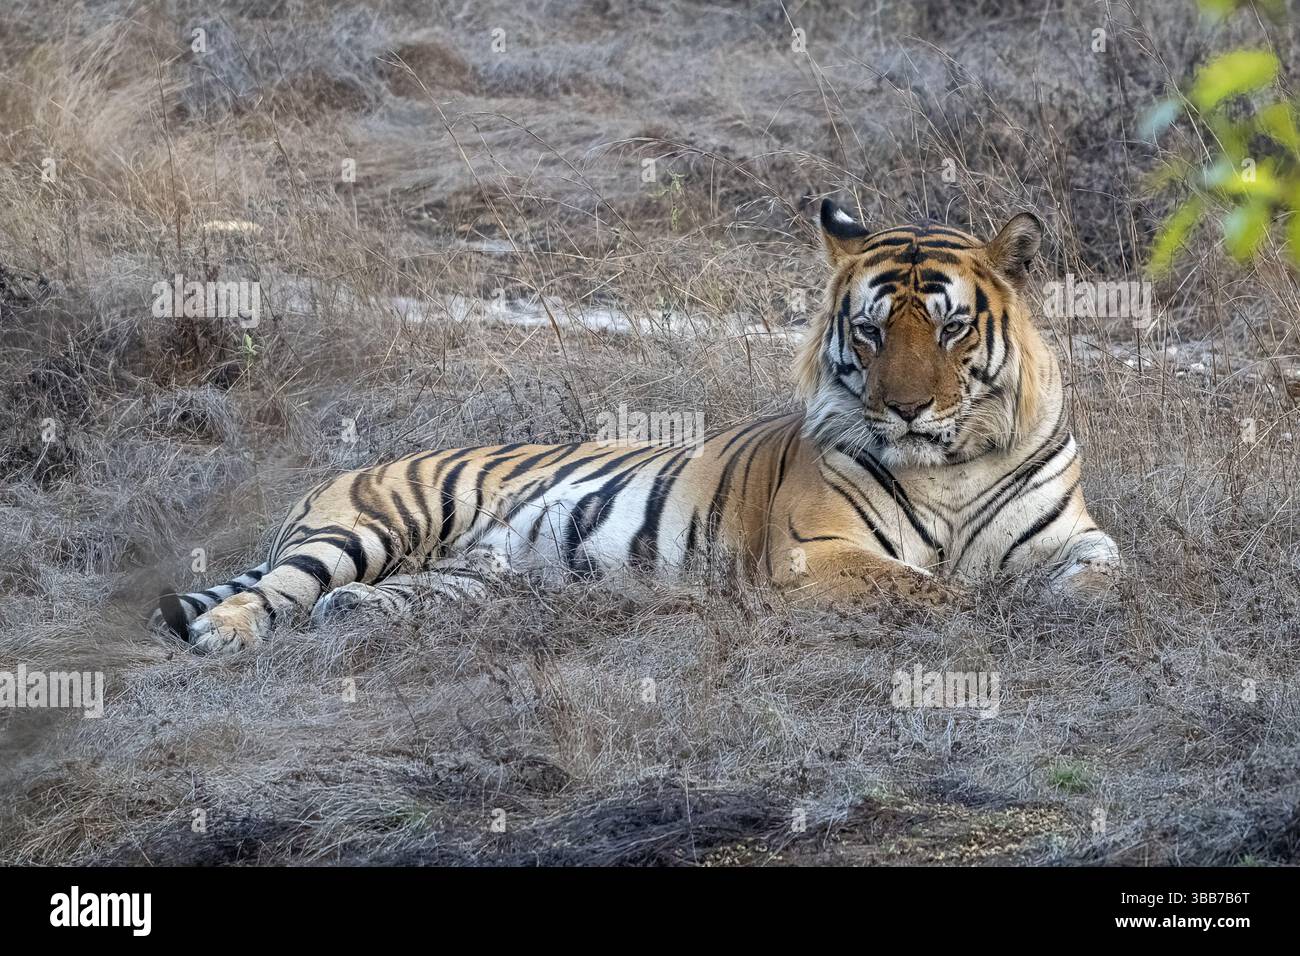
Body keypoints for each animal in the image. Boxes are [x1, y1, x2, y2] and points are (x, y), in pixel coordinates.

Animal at [154, 200, 1120, 654]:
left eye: (951, 328)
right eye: (874, 331)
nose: (908, 408)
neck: (951, 463)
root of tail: (332, 476)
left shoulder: (1070, 530)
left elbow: (1107, 569)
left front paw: (1070, 601)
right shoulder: (815, 554)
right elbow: (934, 590)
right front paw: (990, 606)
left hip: (472, 578)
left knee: (365, 600)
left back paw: (353, 616)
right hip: (370, 527)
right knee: (274, 590)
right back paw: (228, 634)